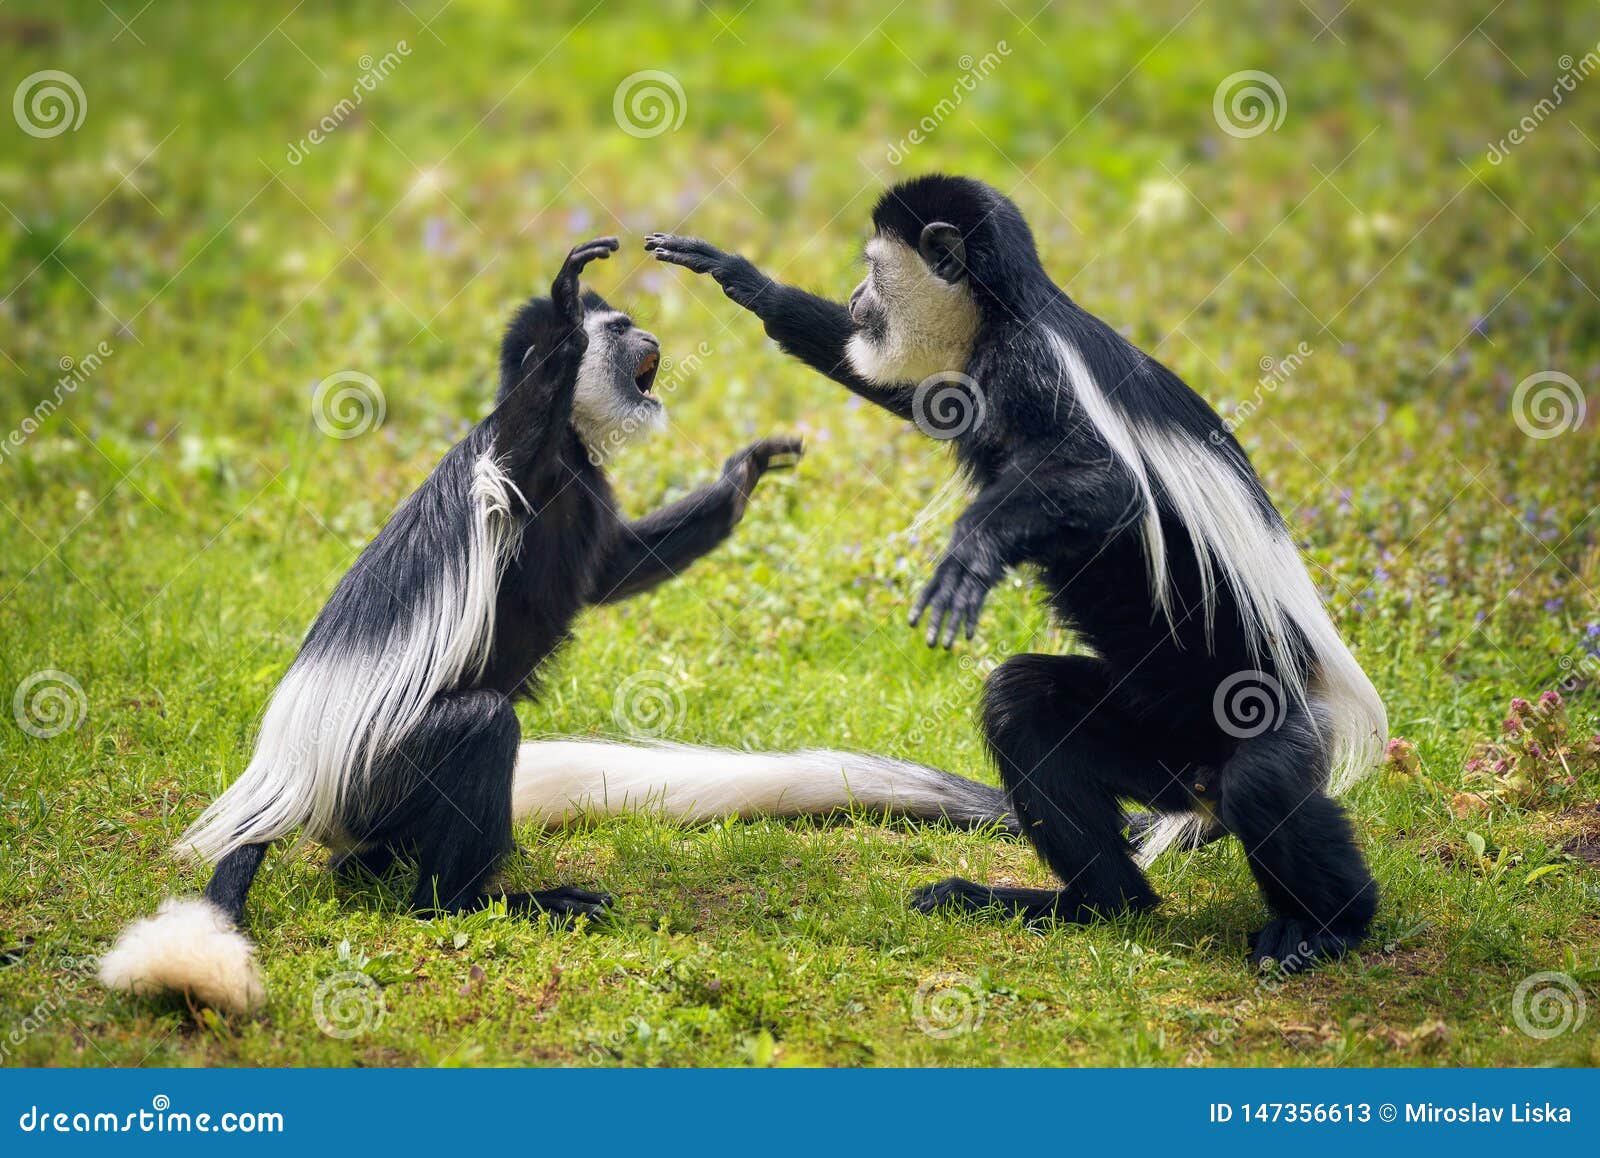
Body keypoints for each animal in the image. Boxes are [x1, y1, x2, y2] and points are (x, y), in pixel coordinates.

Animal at [646, 174, 1388, 971]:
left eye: (874, 272)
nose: (855, 299)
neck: (1007, 316)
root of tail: (1199, 792)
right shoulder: (967, 379)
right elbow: (913, 396)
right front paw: (750, 284)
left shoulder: (1033, 368)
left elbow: (1110, 485)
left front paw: (970, 552)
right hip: (1154, 748)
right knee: (1023, 706)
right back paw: (1081, 904)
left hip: (1281, 719)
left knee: (1263, 787)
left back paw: (1327, 926)